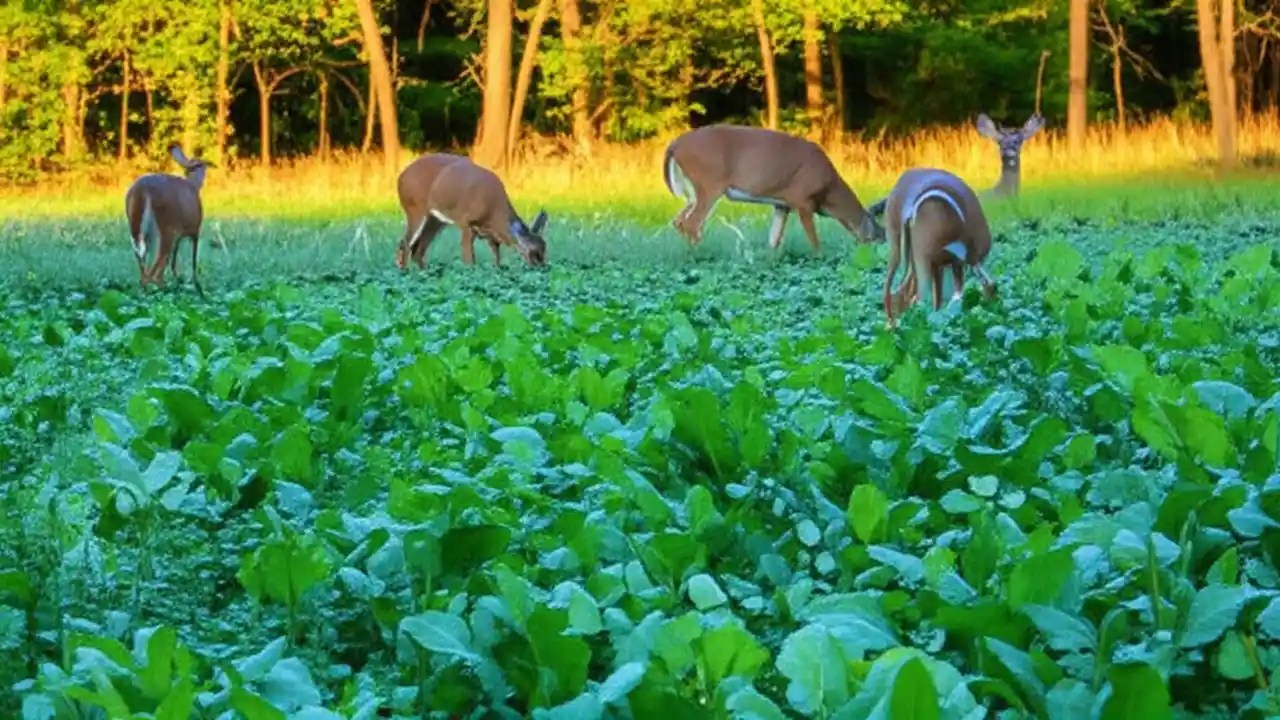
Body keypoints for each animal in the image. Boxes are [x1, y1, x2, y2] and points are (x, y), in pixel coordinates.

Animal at [124, 144, 213, 295]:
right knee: (155, 272)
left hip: (140, 231)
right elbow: (194, 261)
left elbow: (173, 263)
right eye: (201, 164)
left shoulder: (179, 236)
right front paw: (197, 286)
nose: (211, 164)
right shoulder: (195, 230)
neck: (193, 186)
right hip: (166, 229)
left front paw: (179, 281)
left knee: (144, 269)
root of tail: (141, 190)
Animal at [396, 156, 548, 269]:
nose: (542, 267)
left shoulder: (489, 234)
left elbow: (497, 256)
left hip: (436, 219)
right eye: (533, 252)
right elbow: (469, 259)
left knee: (418, 248)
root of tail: (400, 177)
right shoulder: (466, 222)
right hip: (415, 208)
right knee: (405, 243)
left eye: (545, 249)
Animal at [662, 124, 884, 253]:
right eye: (876, 228)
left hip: (693, 191)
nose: (883, 237)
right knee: (692, 223)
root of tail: (675, 144)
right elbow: (814, 240)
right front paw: (820, 257)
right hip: (709, 184)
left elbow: (774, 239)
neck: (829, 191)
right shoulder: (801, 199)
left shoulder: (782, 205)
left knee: (679, 221)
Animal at [877, 168, 998, 329]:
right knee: (909, 294)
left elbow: (941, 301)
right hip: (907, 254)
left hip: (910, 257)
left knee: (901, 291)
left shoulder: (942, 265)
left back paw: (893, 324)